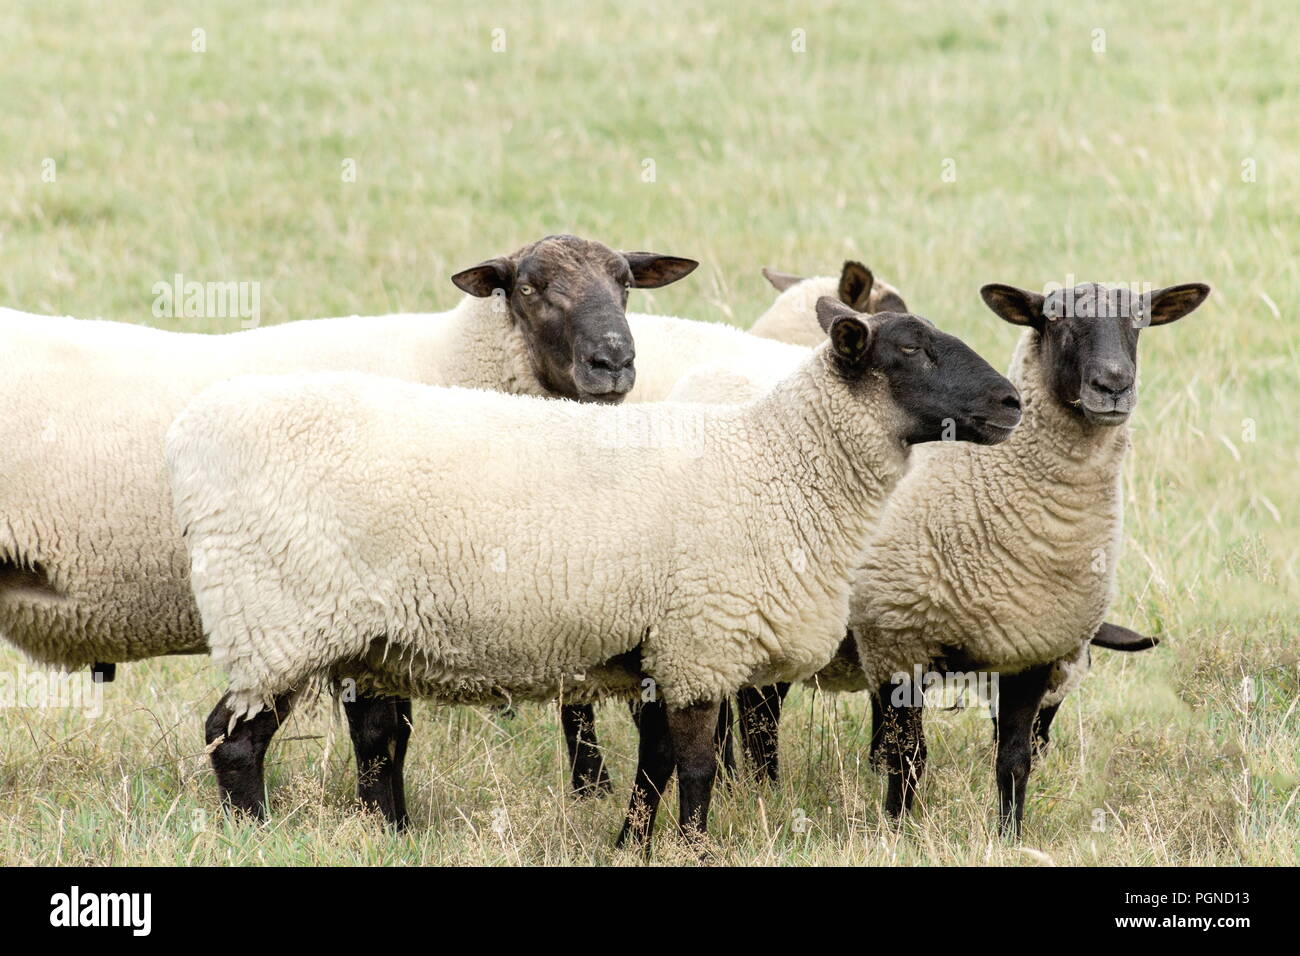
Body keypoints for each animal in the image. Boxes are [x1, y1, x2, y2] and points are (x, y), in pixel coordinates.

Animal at [0, 234, 697, 826]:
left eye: (626, 284)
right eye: (529, 288)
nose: (613, 361)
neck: (455, 360)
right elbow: (382, 731)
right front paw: (389, 825)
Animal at [170, 297, 1022, 847]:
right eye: (908, 351)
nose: (1012, 403)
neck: (776, 462)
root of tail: (196, 439)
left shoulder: (661, 644)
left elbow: (656, 764)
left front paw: (631, 843)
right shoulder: (699, 640)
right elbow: (696, 766)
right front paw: (692, 848)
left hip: (324, 629)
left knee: (337, 739)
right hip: (275, 615)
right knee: (233, 740)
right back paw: (255, 837)